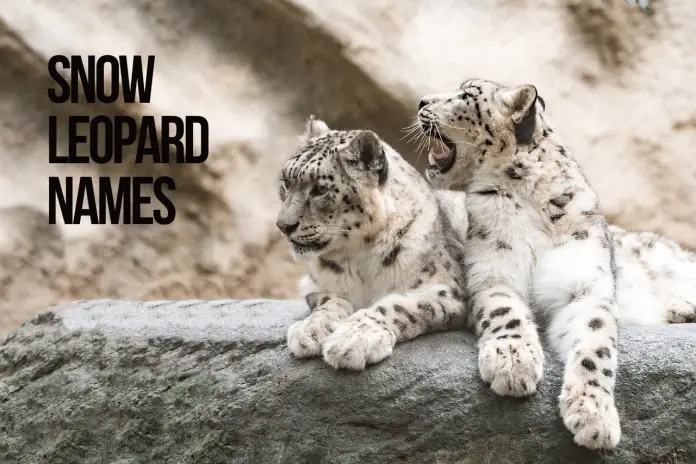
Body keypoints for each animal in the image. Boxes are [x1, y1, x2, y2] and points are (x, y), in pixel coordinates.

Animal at [277, 116, 471, 372]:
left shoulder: (447, 289)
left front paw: (352, 341)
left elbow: (399, 306)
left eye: (320, 188)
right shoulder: (315, 285)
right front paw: (310, 329)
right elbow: (328, 301)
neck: (358, 258)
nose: (283, 225)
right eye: (285, 182)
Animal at [417, 77, 696, 451]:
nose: (421, 101)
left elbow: (595, 345)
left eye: (465, 93)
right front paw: (513, 362)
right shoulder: (491, 273)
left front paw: (594, 416)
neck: (526, 195)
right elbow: (505, 311)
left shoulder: (585, 287)